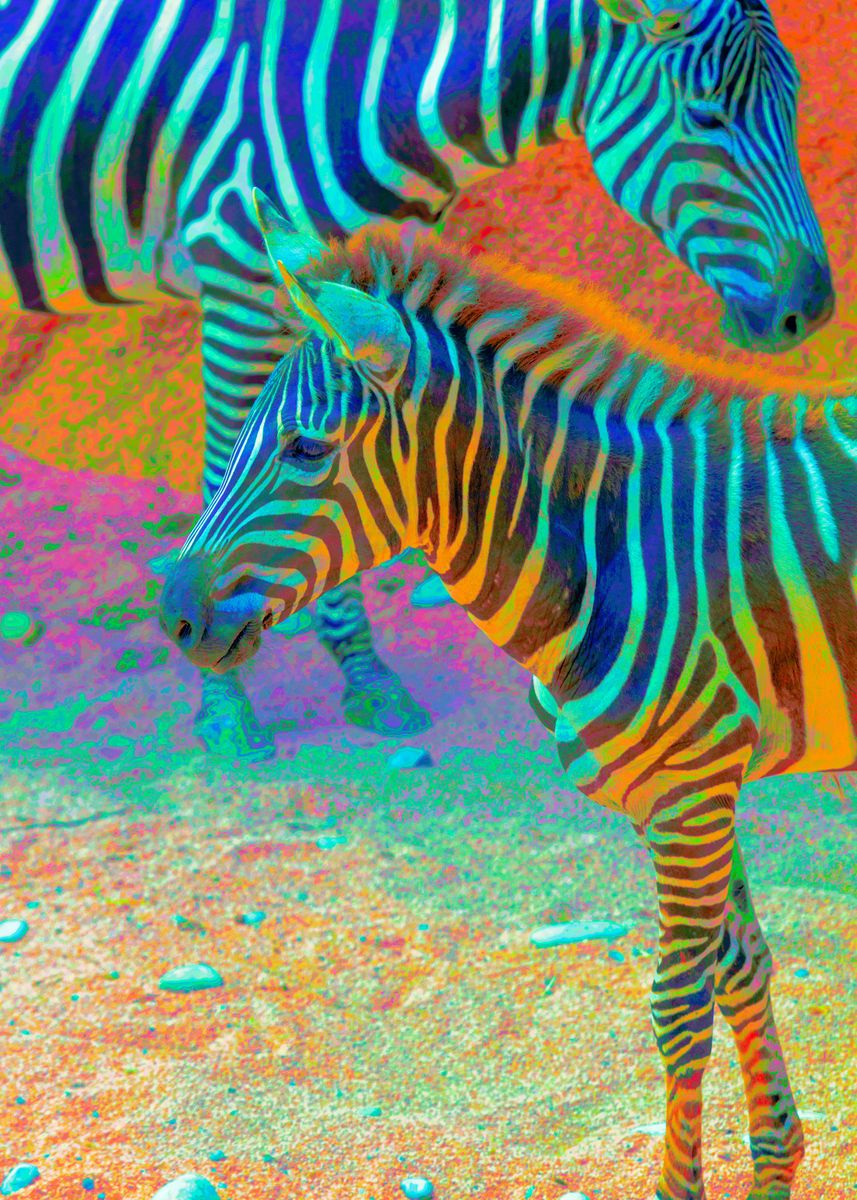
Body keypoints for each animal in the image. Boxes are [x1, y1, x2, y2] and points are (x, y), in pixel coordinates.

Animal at [1, 0, 834, 762]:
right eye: (705, 115)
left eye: (796, 100)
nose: (811, 309)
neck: (372, 80)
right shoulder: (235, 263)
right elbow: (229, 470)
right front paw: (227, 704)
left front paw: (363, 674)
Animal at [159, 197, 856, 1200]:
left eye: (305, 449)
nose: (173, 616)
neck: (609, 549)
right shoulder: (679, 792)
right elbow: (742, 972)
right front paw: (772, 1168)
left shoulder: (690, 790)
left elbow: (679, 1007)